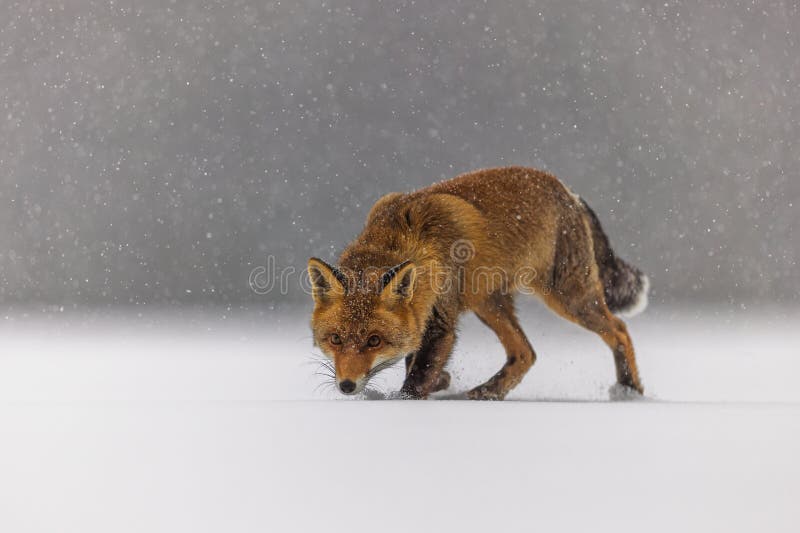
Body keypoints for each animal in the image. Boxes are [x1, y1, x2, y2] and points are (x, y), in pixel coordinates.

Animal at [308, 166, 649, 400]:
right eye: (335, 339)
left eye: (374, 341)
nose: (347, 386)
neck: (411, 240)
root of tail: (569, 191)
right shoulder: (422, 315)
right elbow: (416, 360)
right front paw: (442, 380)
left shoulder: (441, 320)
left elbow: (417, 377)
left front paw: (409, 396)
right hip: (489, 304)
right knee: (526, 353)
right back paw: (490, 391)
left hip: (568, 297)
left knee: (619, 330)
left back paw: (629, 389)